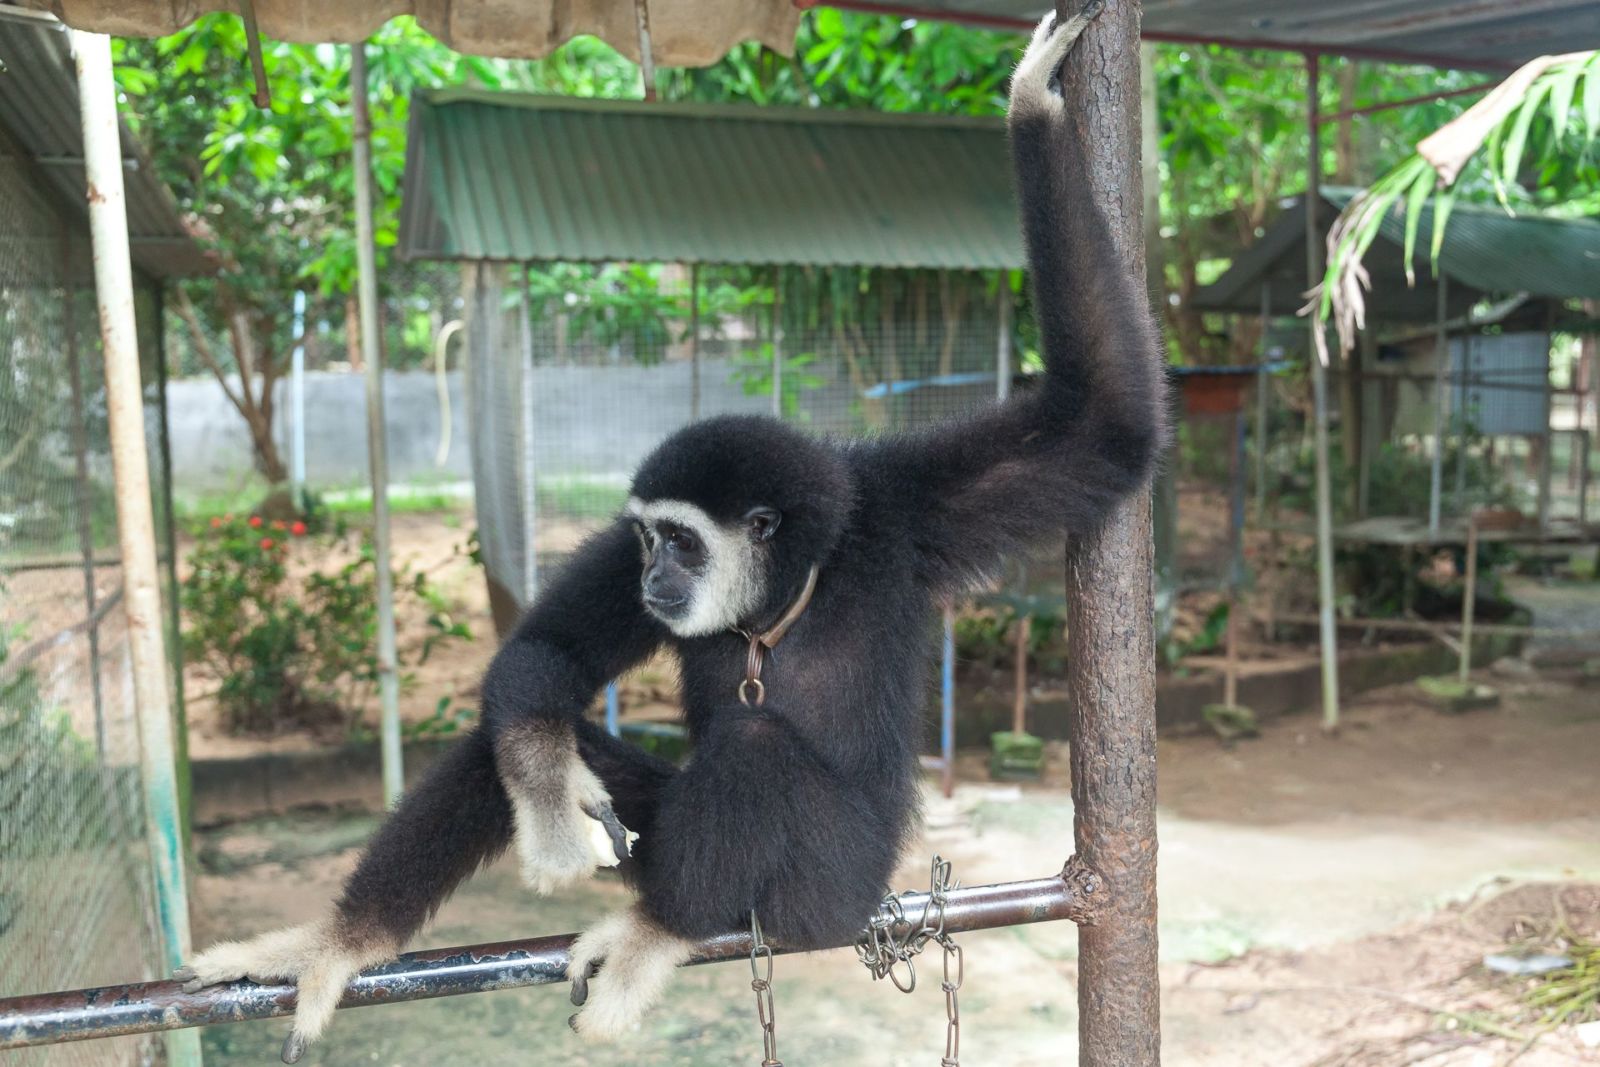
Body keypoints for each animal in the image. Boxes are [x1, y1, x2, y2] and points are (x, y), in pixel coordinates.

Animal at [175, 6, 1165, 1060]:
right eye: (649, 539)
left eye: (683, 544)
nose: (654, 575)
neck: (784, 600)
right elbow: (539, 655)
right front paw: (551, 804)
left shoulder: (908, 515)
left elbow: (1104, 420)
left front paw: (1031, 99)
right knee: (520, 734)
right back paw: (339, 942)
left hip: (828, 893)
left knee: (758, 755)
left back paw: (658, 930)